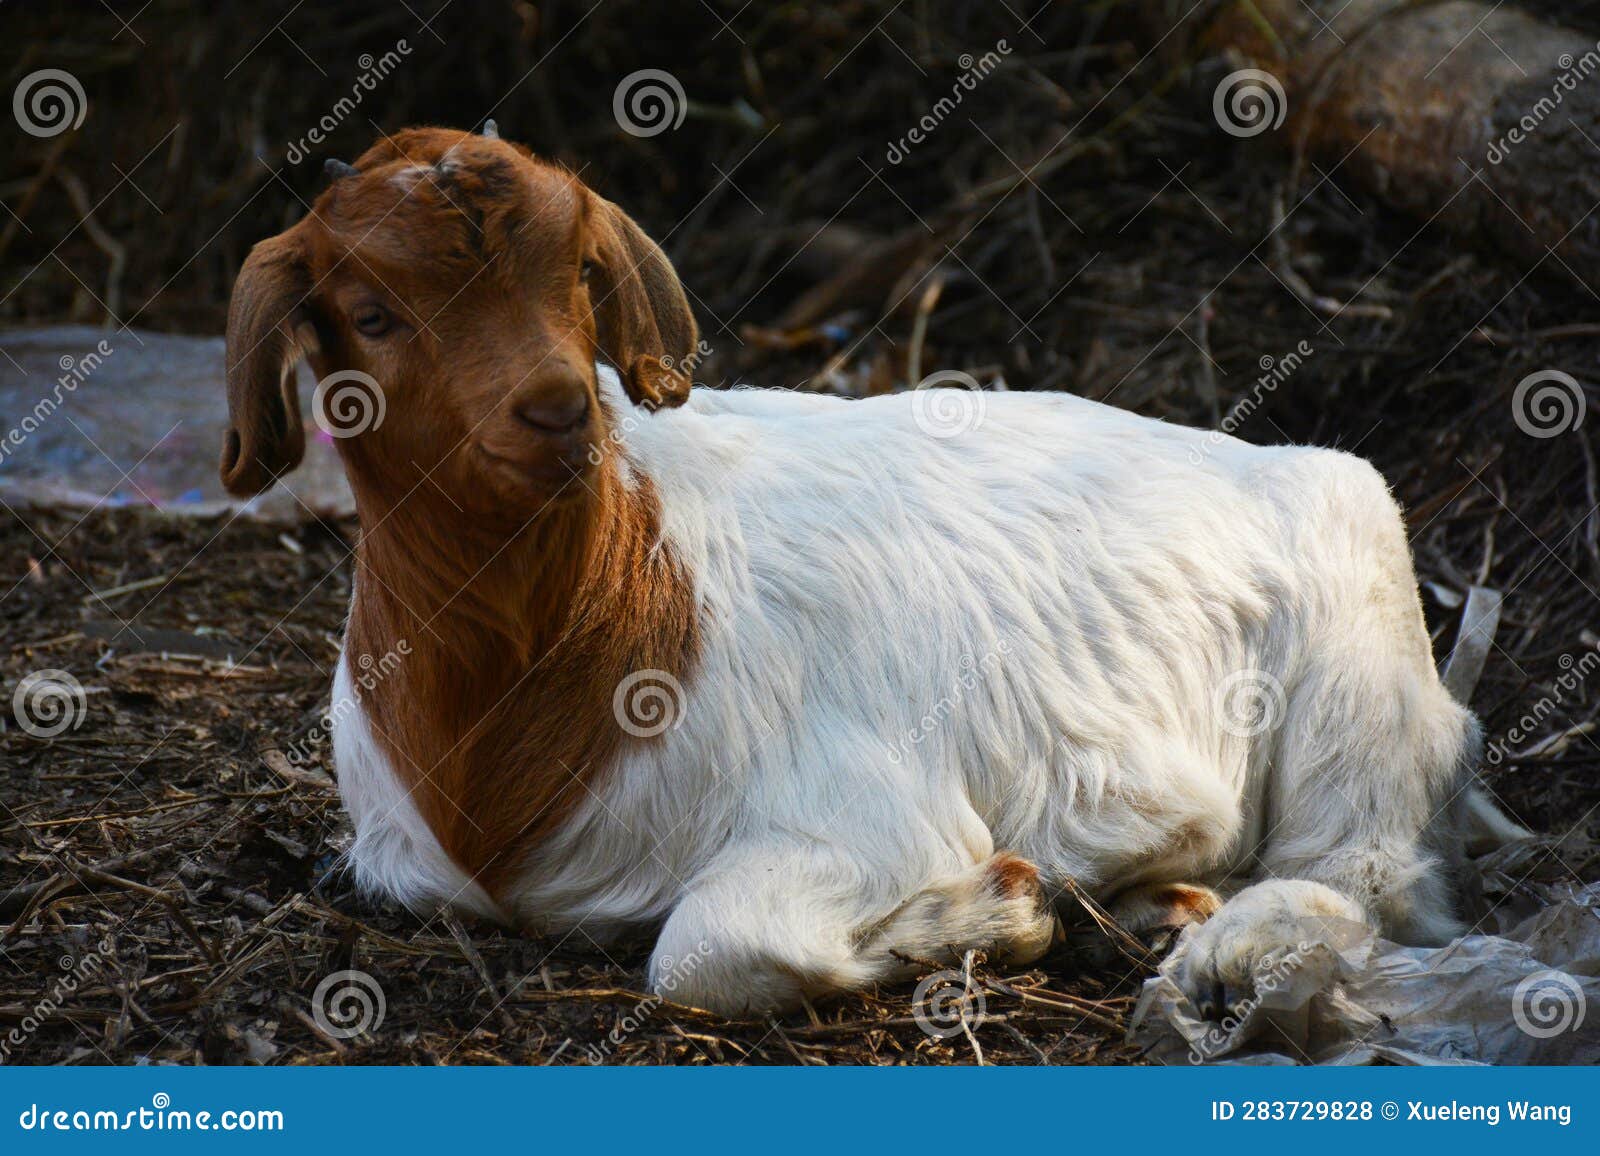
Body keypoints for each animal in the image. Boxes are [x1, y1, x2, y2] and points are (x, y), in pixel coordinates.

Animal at [221, 125, 1526, 1019]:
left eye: (576, 275)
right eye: (372, 312)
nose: (555, 412)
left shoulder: (866, 814)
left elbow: (697, 949)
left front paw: (989, 913)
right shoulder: (403, 867)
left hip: (1357, 676)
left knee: (1358, 871)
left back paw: (1218, 949)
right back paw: (1150, 907)